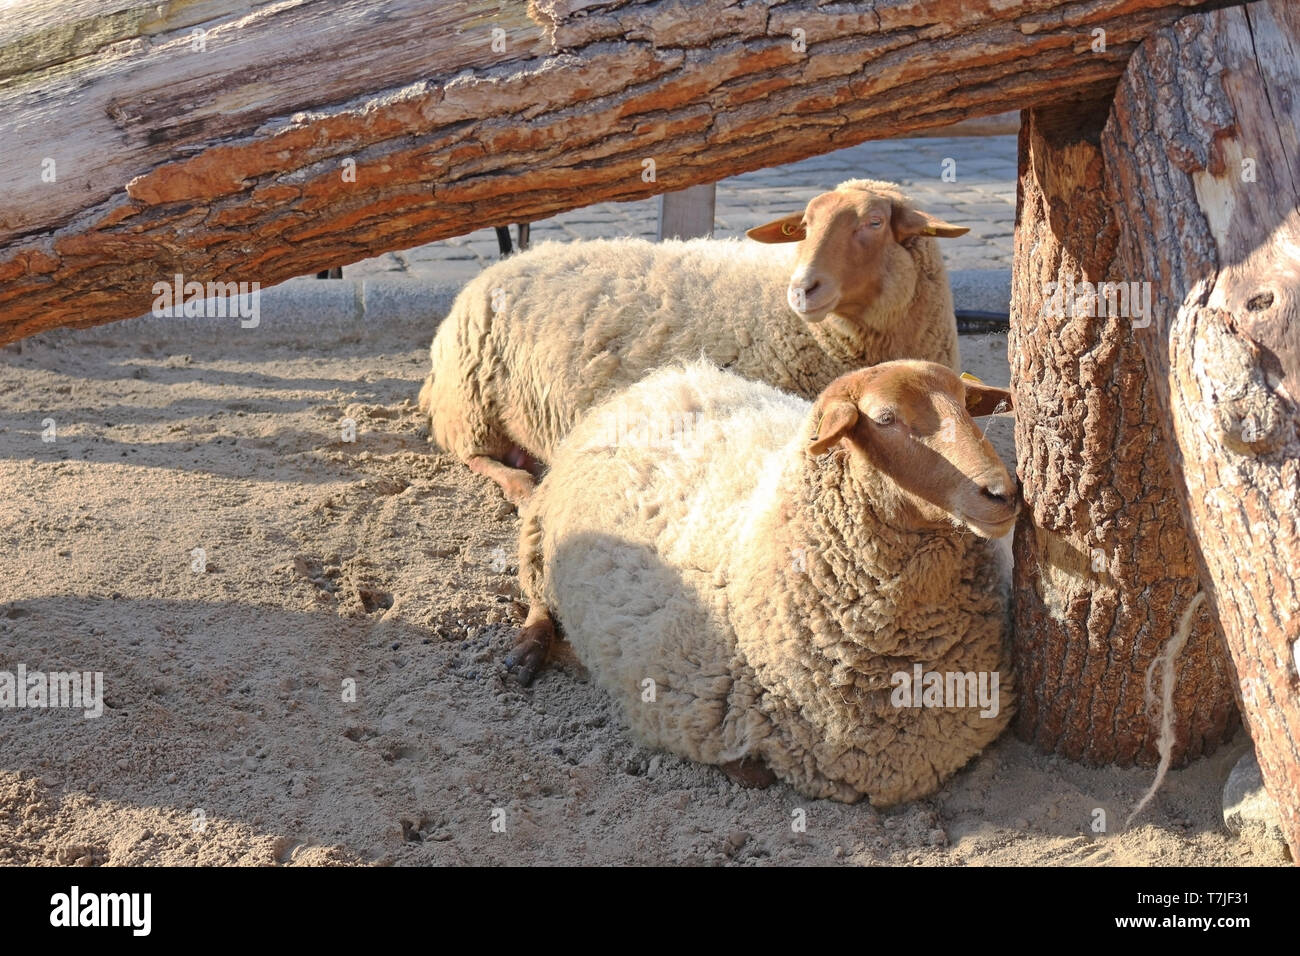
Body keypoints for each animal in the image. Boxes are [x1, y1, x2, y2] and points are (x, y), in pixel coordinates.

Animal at [418, 179, 969, 505]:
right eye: (804, 227)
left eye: (874, 222)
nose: (802, 289)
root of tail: (492, 271)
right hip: (471, 404)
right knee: (471, 453)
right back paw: (521, 482)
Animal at [507, 359, 1017, 806]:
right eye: (886, 419)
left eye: (965, 402)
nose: (1003, 493)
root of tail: (661, 379)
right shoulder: (681, 704)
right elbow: (753, 772)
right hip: (541, 534)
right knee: (537, 596)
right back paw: (524, 654)